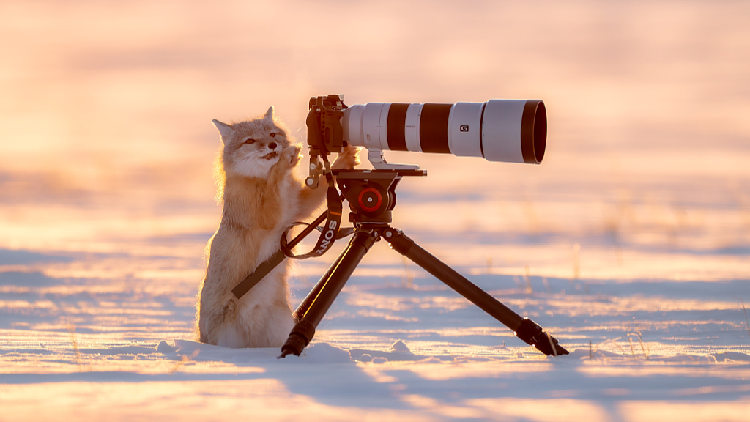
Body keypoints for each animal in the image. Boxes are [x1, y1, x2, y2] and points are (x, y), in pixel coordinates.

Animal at [196, 106, 359, 348]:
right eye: (250, 140)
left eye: (272, 134)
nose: (273, 145)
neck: (259, 181)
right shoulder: (268, 218)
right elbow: (275, 185)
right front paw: (283, 163)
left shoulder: (297, 209)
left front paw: (345, 158)